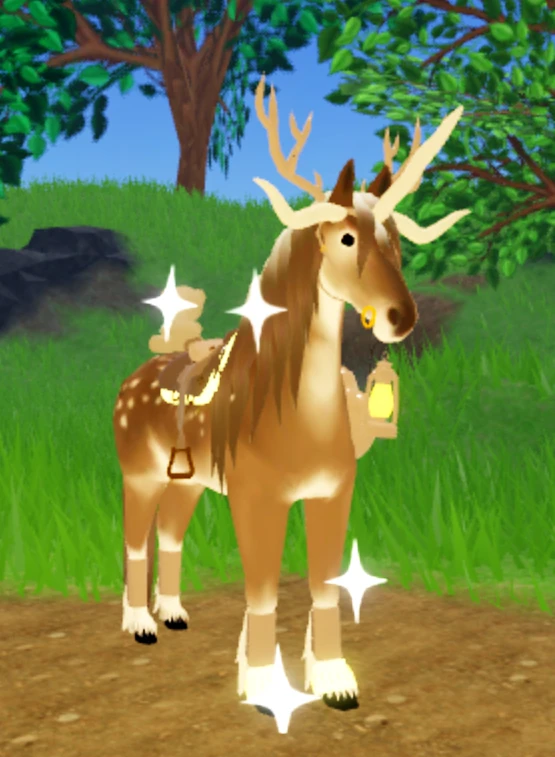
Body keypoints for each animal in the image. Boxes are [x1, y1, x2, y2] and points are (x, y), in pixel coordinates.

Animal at [113, 75, 470, 713]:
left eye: (397, 241)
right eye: (346, 237)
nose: (401, 318)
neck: (298, 417)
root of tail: (131, 379)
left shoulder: (332, 494)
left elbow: (325, 586)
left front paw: (332, 679)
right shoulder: (257, 499)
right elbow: (261, 592)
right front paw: (260, 685)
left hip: (188, 482)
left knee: (171, 533)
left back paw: (173, 612)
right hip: (140, 474)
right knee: (135, 539)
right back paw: (140, 624)